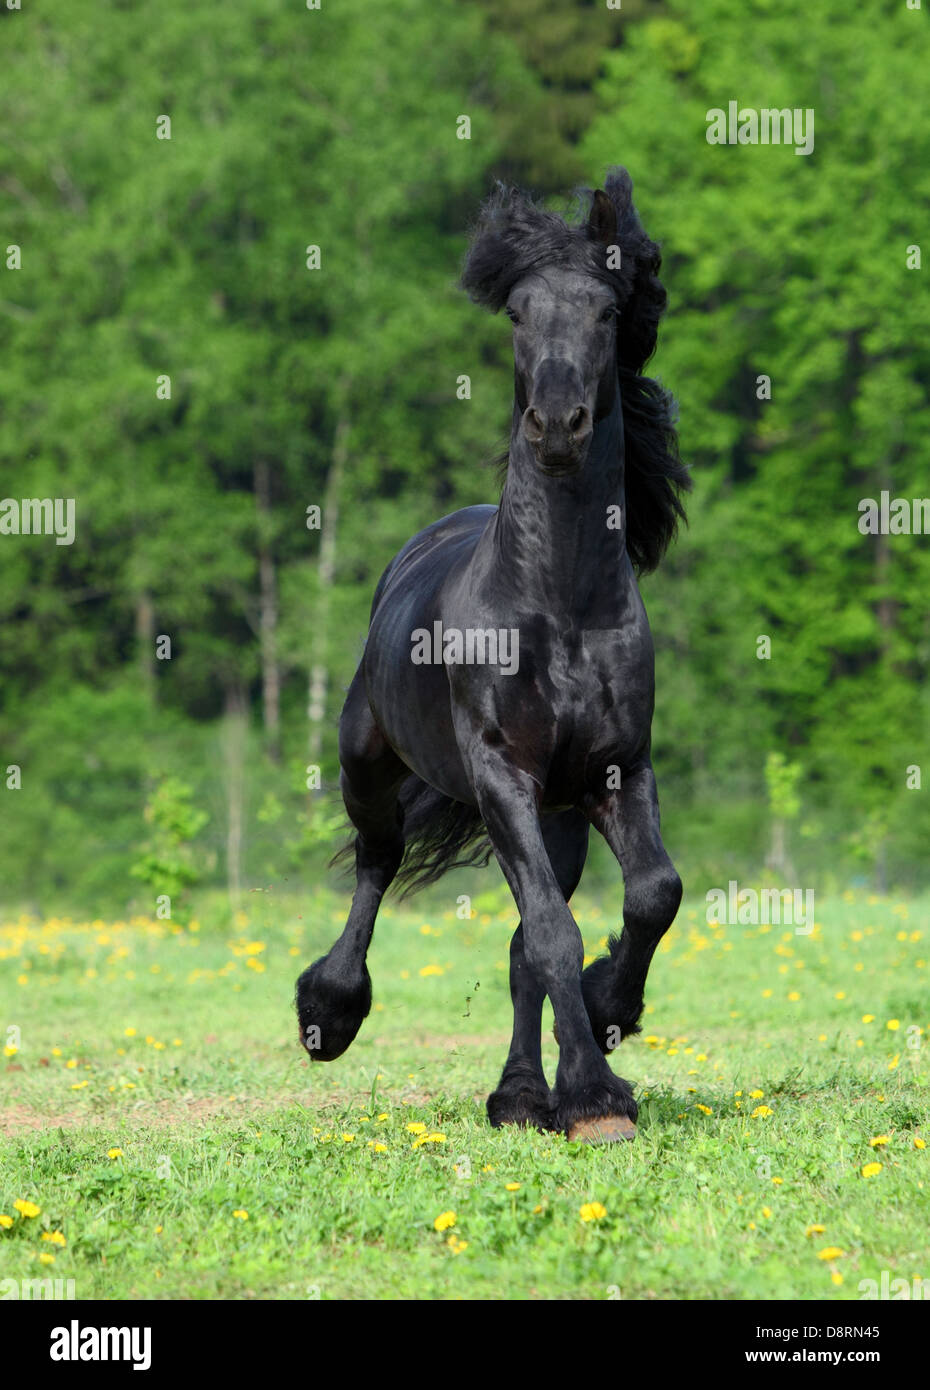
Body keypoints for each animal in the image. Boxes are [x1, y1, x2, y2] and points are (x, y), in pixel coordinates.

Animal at [295, 167, 691, 1143]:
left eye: (606, 310)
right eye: (517, 312)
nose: (557, 426)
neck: (561, 607)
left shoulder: (617, 769)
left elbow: (648, 896)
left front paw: (609, 1015)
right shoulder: (500, 773)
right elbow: (552, 932)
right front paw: (594, 1098)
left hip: (558, 815)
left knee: (520, 941)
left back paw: (518, 1095)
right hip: (368, 764)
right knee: (378, 862)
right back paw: (331, 1010)